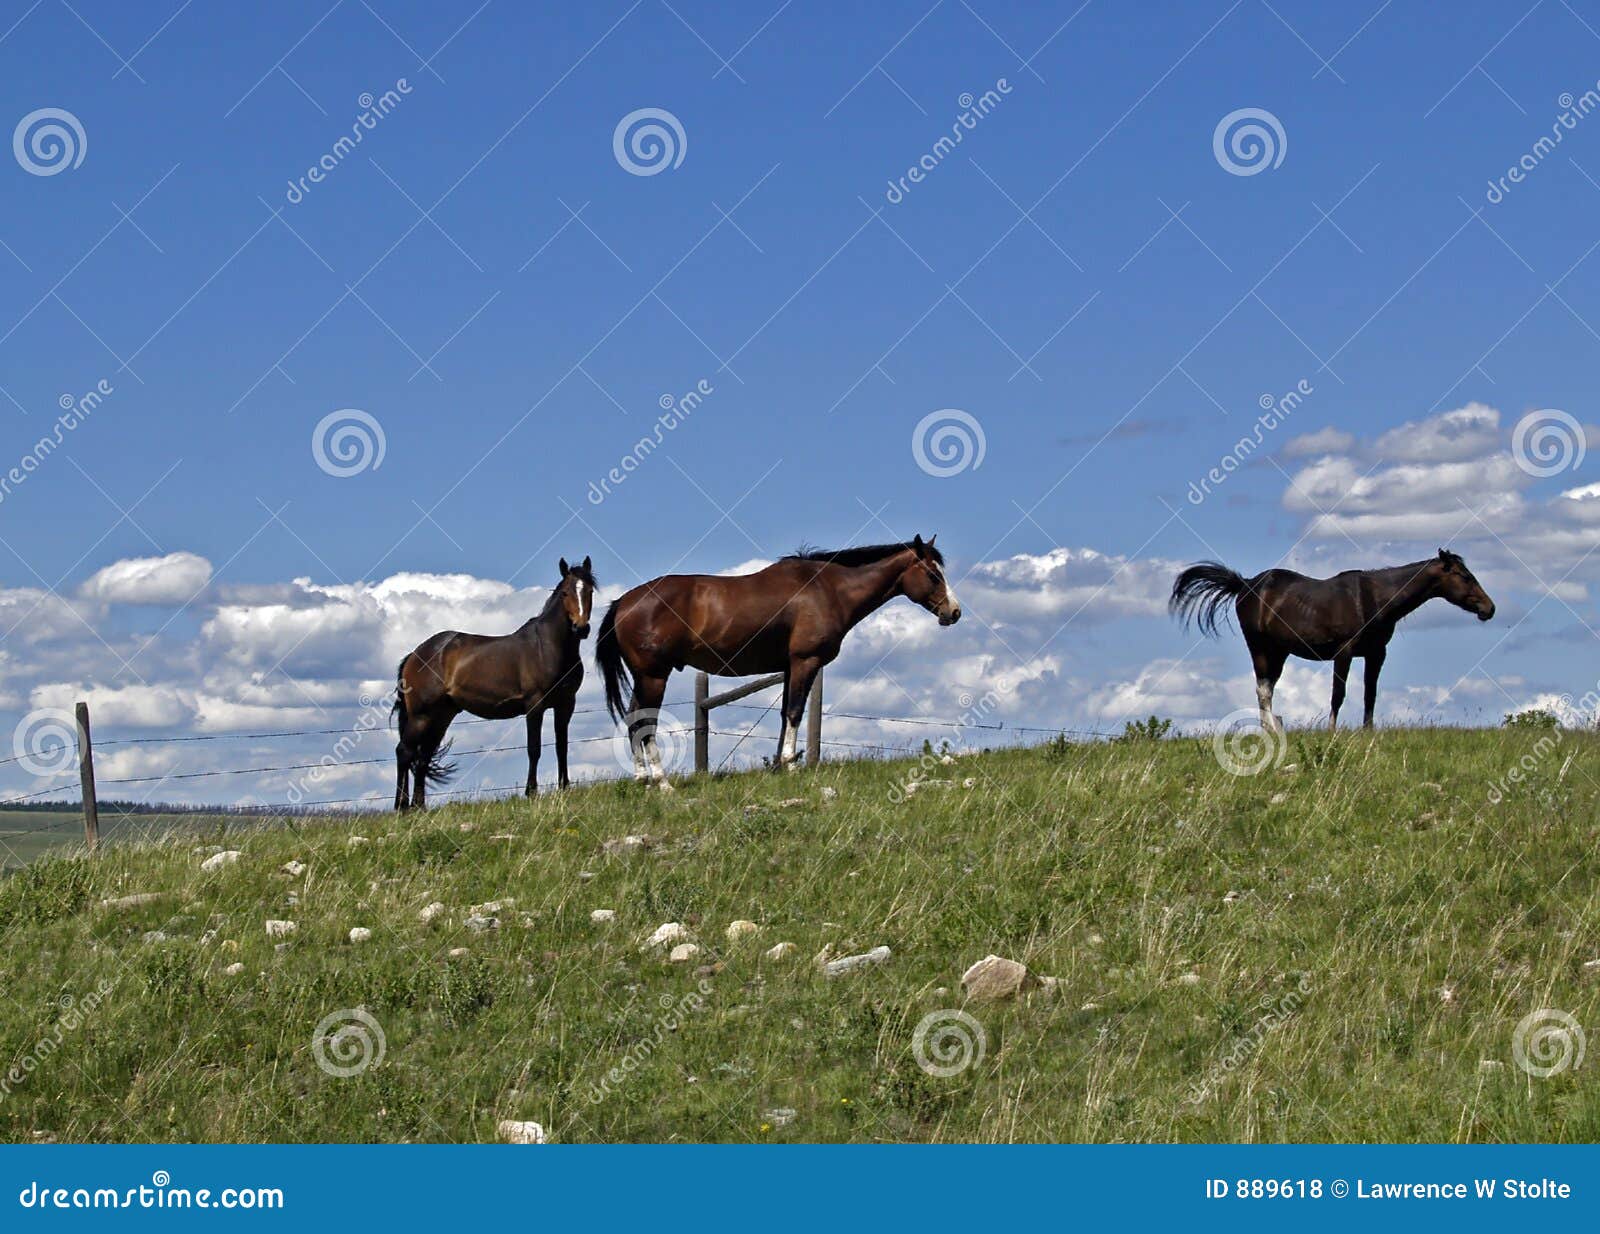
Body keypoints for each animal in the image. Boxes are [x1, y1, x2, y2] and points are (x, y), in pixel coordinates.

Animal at [392, 557, 595, 810]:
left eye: (589, 590)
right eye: (566, 592)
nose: (581, 628)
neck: (547, 647)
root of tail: (414, 654)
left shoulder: (566, 704)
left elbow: (562, 746)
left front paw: (564, 788)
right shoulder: (535, 706)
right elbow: (534, 748)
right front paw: (531, 792)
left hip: (440, 716)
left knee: (422, 758)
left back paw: (419, 807)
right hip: (421, 715)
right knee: (404, 752)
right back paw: (401, 807)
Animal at [595, 536, 961, 788]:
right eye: (933, 574)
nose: (954, 612)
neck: (830, 590)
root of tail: (622, 602)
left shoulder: (787, 668)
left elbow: (785, 714)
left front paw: (777, 766)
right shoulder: (805, 662)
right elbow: (796, 712)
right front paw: (791, 764)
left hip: (645, 678)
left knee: (634, 720)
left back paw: (643, 779)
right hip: (654, 676)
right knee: (646, 723)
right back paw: (662, 782)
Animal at [1169, 548, 1495, 732]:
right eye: (1465, 576)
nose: (1489, 608)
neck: (1374, 598)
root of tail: (1245, 584)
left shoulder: (1376, 654)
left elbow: (1370, 695)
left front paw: (1368, 732)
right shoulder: (1344, 652)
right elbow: (1338, 694)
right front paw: (1332, 730)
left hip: (1280, 652)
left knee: (1268, 688)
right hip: (1260, 647)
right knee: (1262, 689)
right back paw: (1269, 729)